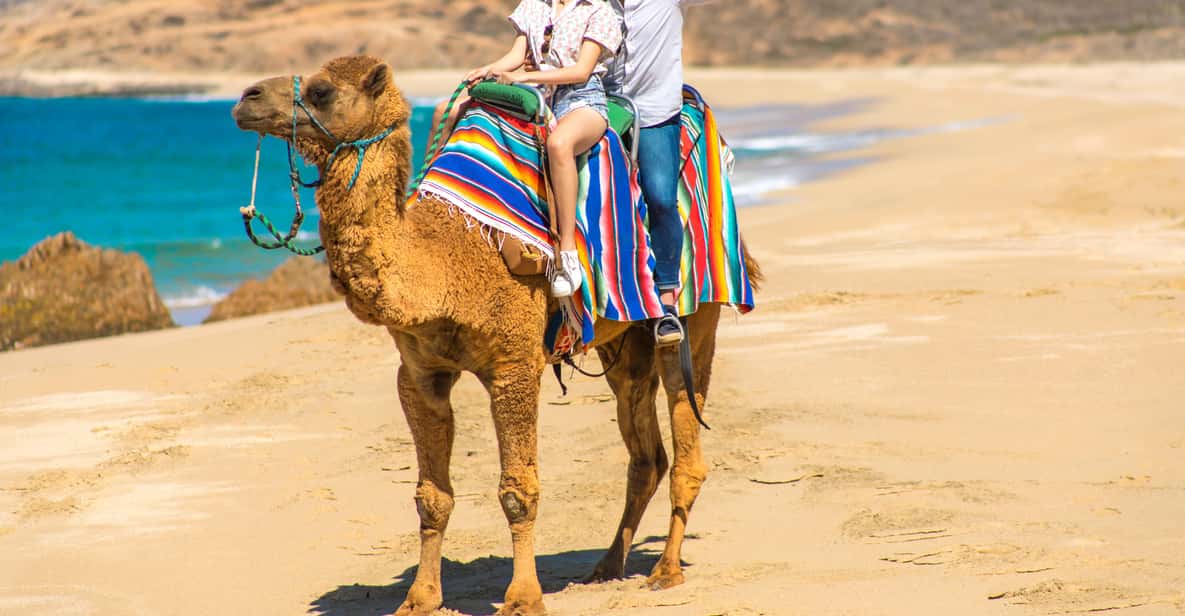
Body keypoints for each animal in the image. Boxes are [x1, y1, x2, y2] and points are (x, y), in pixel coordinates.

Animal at [232, 55, 761, 616]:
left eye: (322, 90)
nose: (246, 99)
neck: (445, 254)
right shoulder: (419, 373)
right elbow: (431, 497)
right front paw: (419, 598)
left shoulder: (514, 363)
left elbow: (517, 491)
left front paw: (523, 597)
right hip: (623, 345)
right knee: (644, 453)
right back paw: (606, 567)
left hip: (697, 307)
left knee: (686, 438)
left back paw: (665, 571)